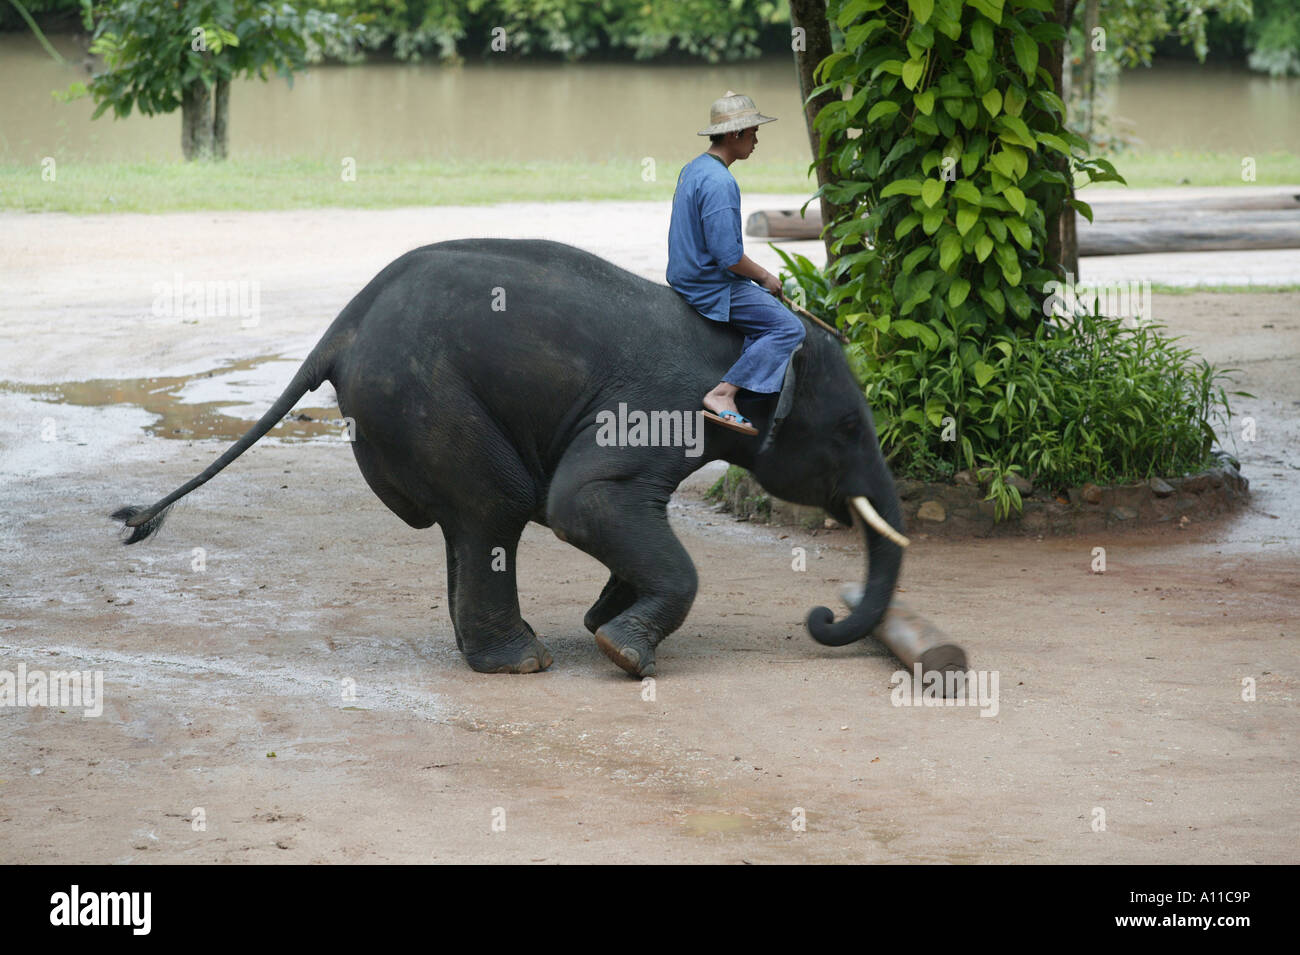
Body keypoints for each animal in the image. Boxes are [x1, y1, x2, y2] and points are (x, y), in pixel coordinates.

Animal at [112, 239, 907, 677]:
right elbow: (583, 501)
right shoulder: (657, 404)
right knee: (499, 506)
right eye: (847, 425)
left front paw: (605, 618)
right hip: (429, 397)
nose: (822, 616)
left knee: (473, 523)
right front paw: (622, 653)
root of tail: (335, 332)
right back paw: (523, 662)